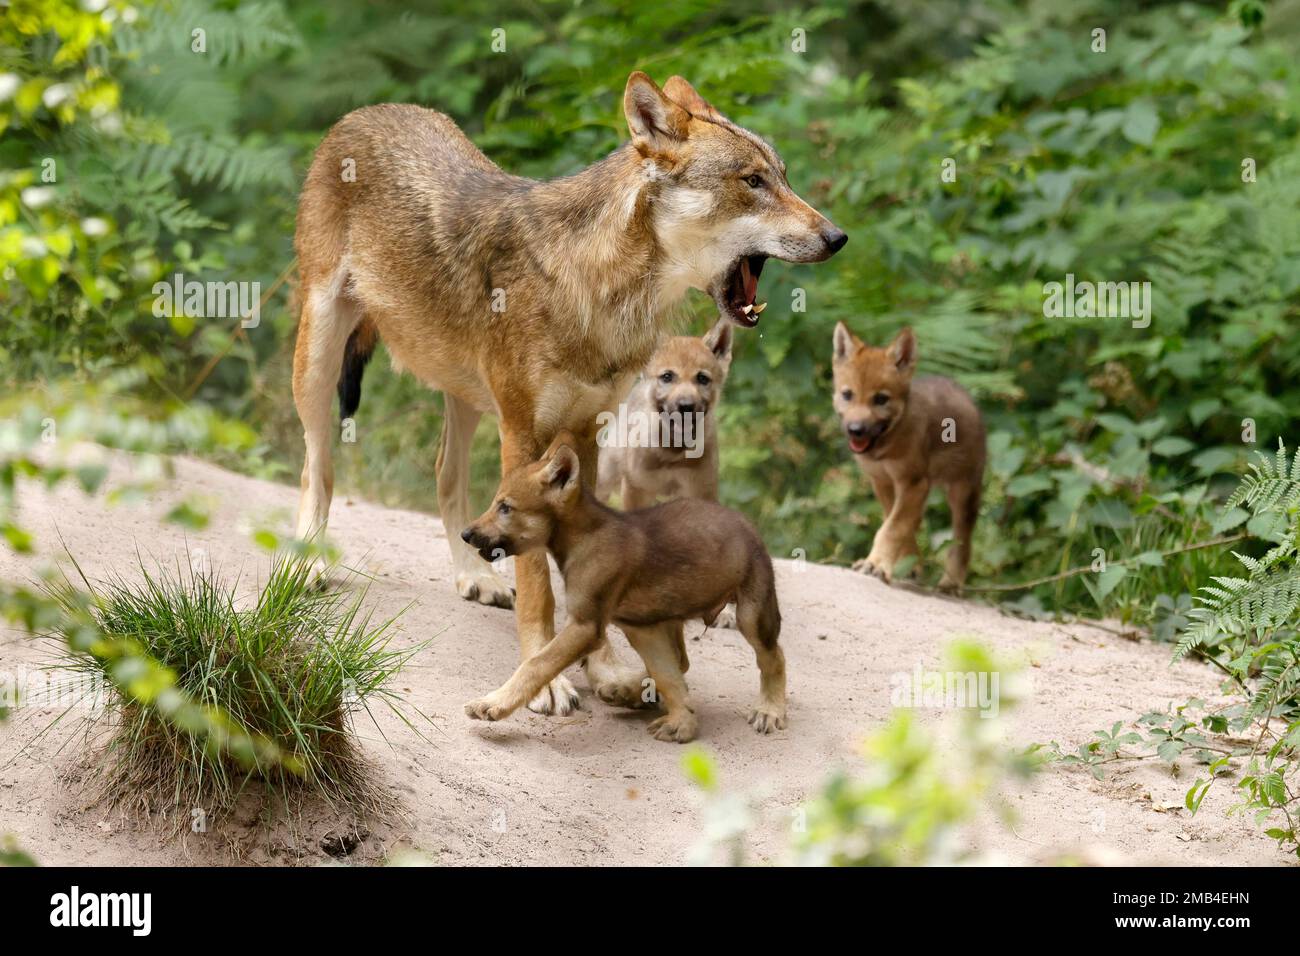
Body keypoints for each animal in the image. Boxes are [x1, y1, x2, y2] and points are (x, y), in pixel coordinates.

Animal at [292, 71, 844, 715]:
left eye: (784, 177)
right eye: (752, 182)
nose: (838, 237)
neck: (602, 291)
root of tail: (369, 110)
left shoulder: (586, 430)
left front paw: (603, 668)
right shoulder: (522, 432)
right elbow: (537, 583)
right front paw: (546, 677)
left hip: (466, 396)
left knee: (445, 476)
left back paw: (474, 576)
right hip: (321, 354)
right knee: (317, 465)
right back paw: (308, 559)